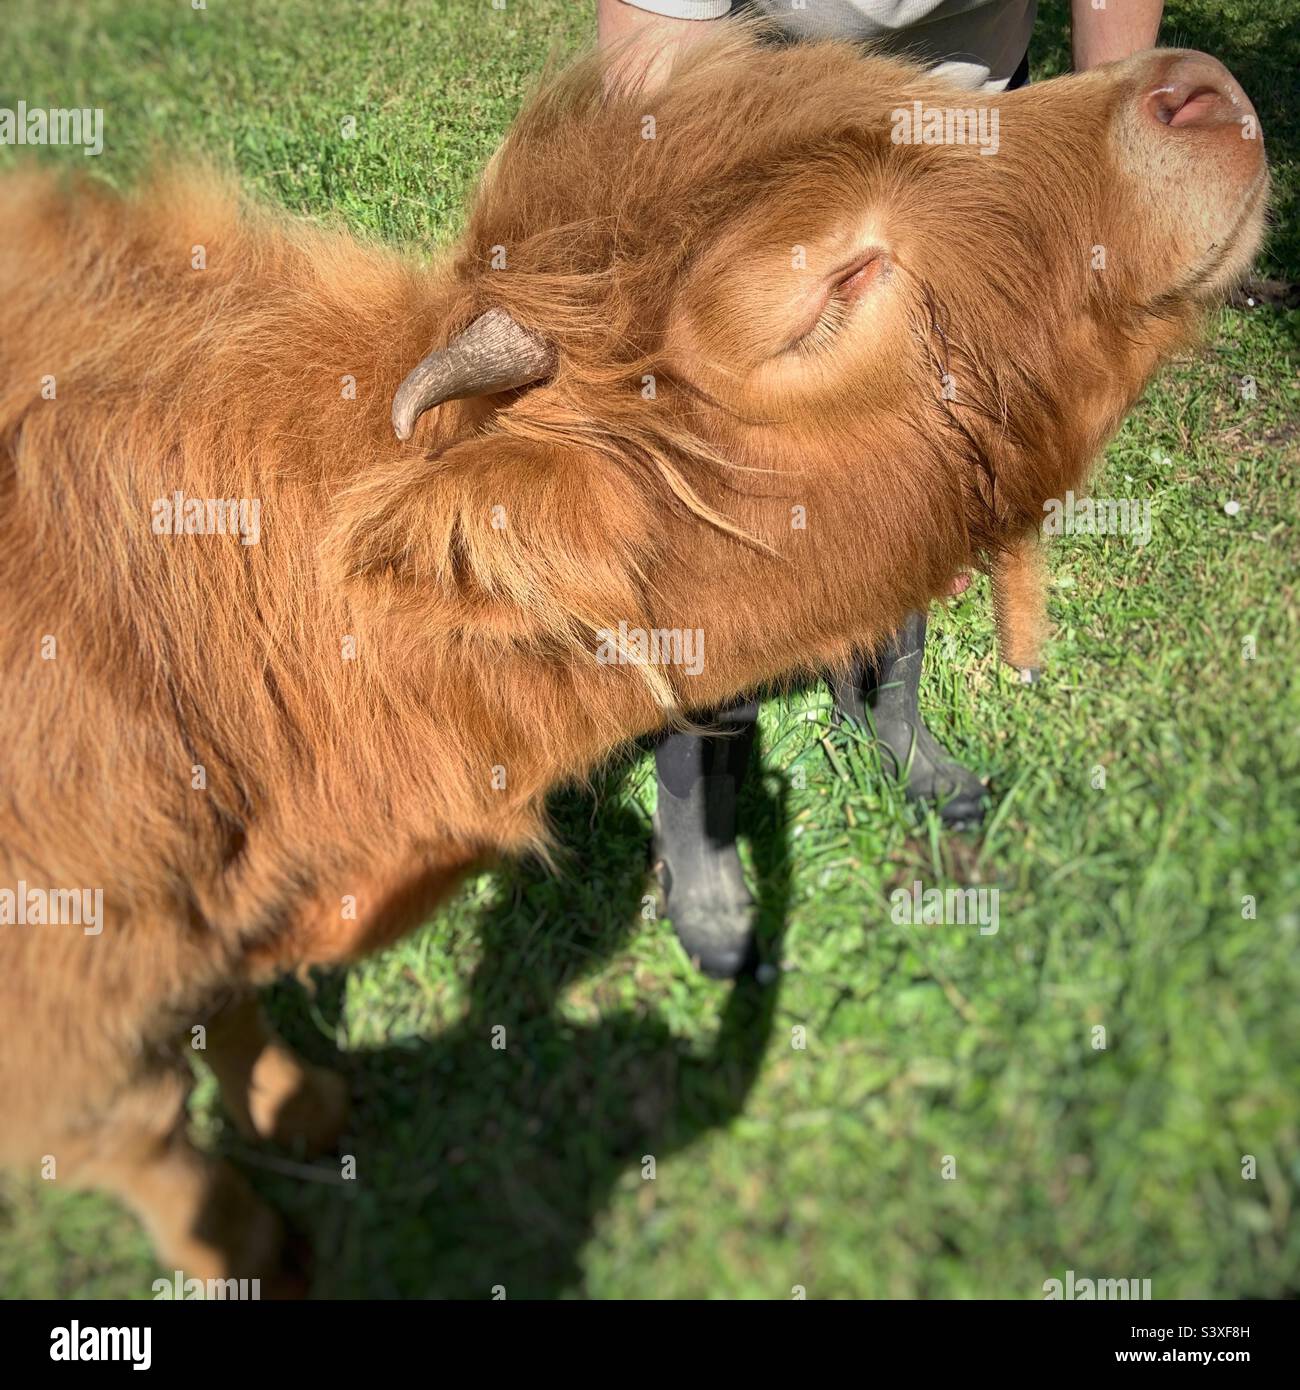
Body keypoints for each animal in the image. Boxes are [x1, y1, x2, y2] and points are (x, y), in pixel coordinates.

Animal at [0, 27, 1267, 1289]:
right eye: (822, 291)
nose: (1188, 87)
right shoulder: (74, 1027)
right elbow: (158, 1143)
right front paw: (246, 1241)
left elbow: (231, 1017)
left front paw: (297, 1104)